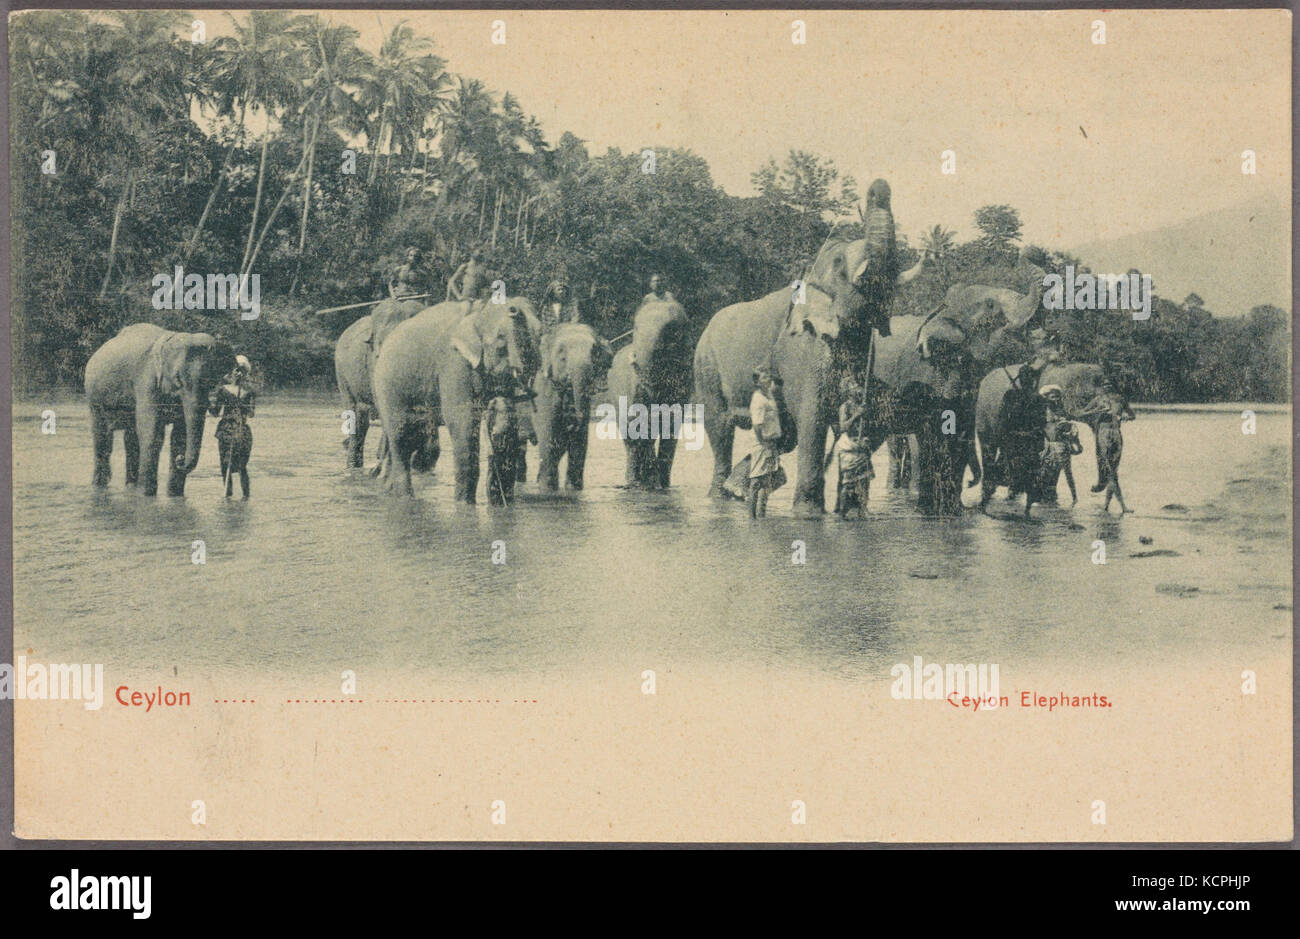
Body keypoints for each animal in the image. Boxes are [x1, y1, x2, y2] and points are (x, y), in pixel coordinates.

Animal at [84, 323, 235, 496]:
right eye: (178, 380)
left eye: (212, 381)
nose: (180, 459)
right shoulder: (147, 382)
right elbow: (152, 433)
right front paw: (146, 494)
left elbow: (180, 435)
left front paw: (174, 495)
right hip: (94, 399)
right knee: (103, 438)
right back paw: (99, 486)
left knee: (131, 437)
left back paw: (130, 487)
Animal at [372, 297, 542, 500]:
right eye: (501, 339)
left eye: (540, 333)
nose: (514, 309)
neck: (479, 311)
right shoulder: (454, 362)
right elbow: (462, 420)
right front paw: (464, 503)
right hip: (387, 386)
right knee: (400, 437)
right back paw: (405, 497)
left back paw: (388, 490)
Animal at [534, 322, 613, 491]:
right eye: (563, 358)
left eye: (594, 354)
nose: (572, 423)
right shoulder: (542, 396)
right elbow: (549, 439)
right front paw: (547, 489)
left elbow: (580, 442)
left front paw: (574, 489)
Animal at [606, 299, 693, 489]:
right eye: (636, 328)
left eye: (671, 331)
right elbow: (640, 424)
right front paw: (649, 483)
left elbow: (672, 427)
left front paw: (660, 484)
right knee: (628, 435)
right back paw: (633, 481)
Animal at [694, 179, 925, 517]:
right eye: (840, 265)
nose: (879, 187)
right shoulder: (803, 348)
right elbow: (811, 417)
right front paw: (808, 515)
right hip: (706, 366)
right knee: (720, 427)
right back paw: (719, 497)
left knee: (781, 438)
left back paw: (736, 491)